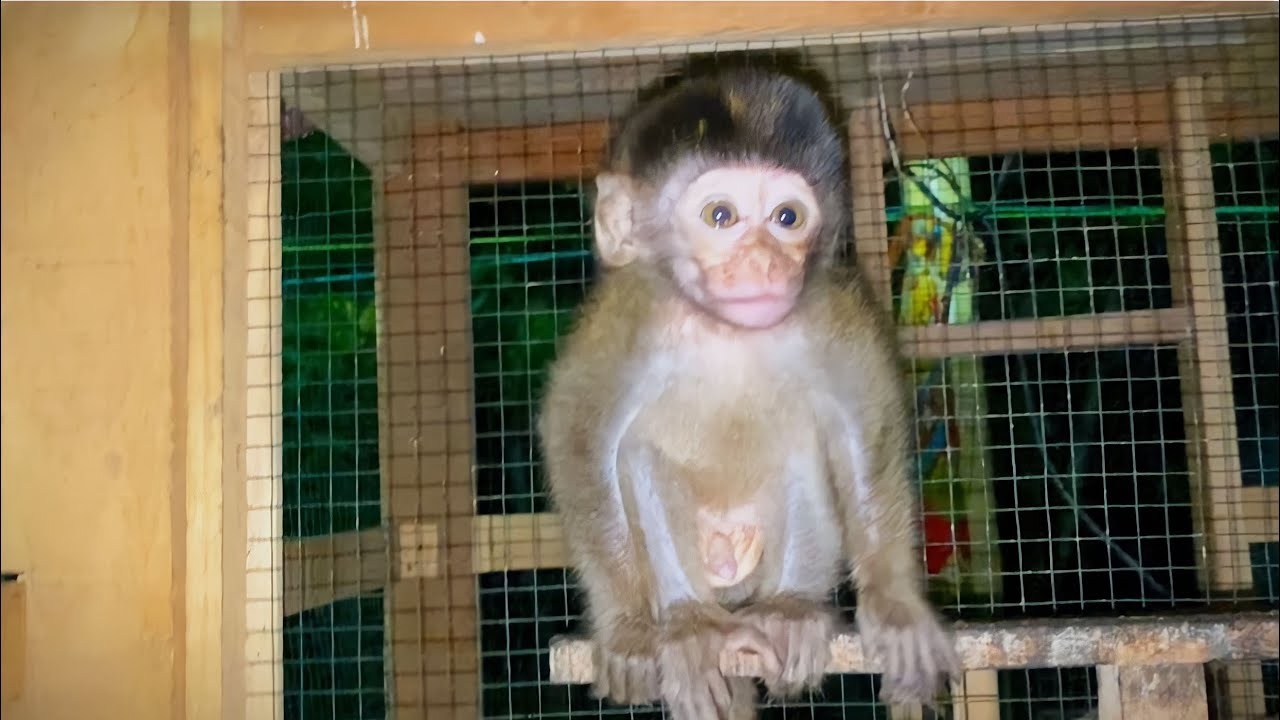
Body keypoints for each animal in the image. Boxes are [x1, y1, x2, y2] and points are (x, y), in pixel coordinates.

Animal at [537, 65, 960, 719]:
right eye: (721, 216)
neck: (724, 329)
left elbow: (864, 419)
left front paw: (893, 601)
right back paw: (690, 624)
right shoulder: (628, 316)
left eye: (787, 218)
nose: (765, 263)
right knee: (638, 453)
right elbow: (577, 432)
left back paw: (788, 611)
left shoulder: (829, 307)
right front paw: (627, 629)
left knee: (807, 441)